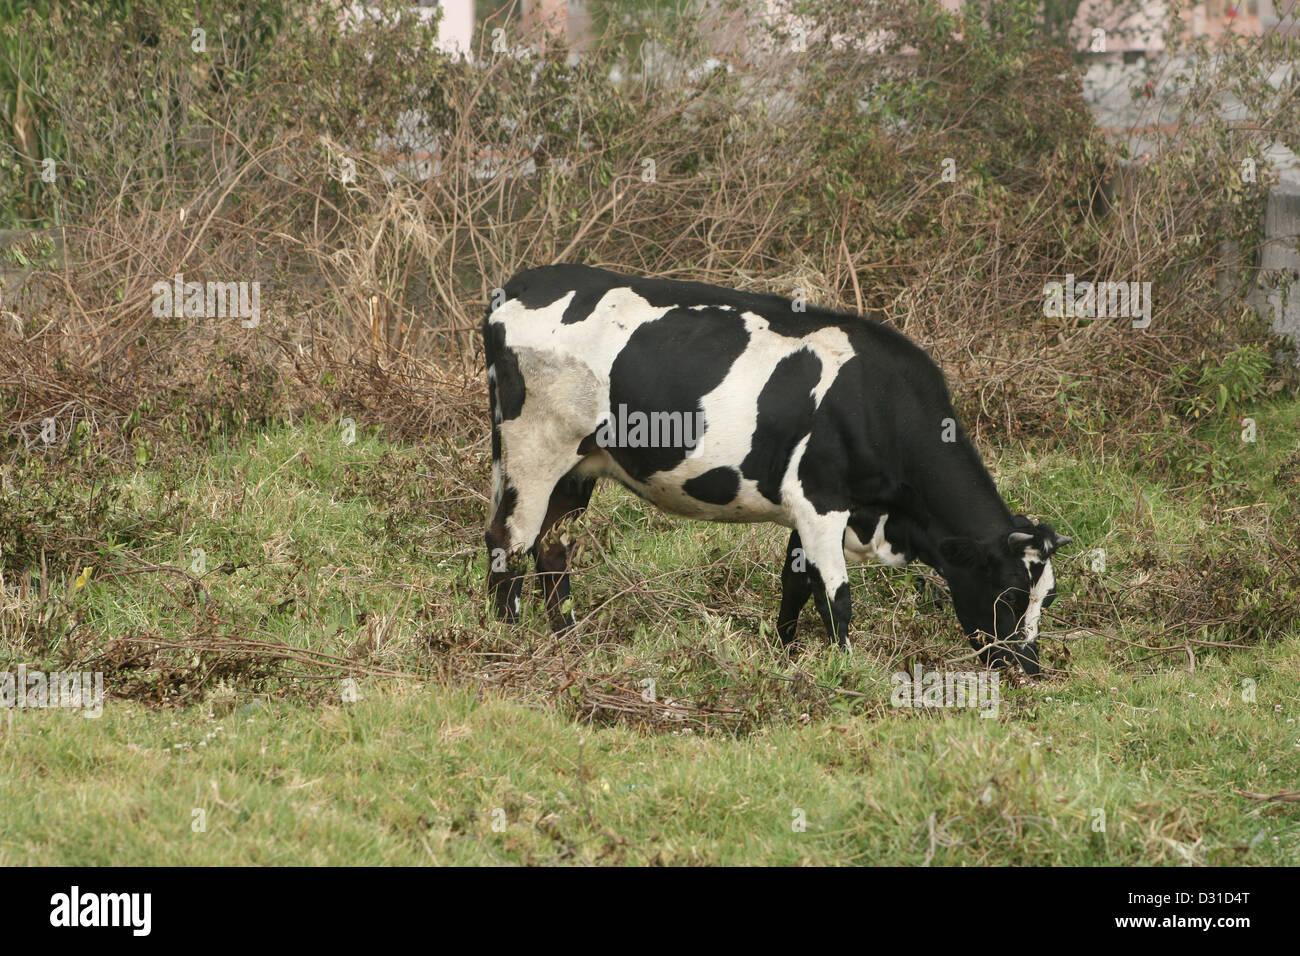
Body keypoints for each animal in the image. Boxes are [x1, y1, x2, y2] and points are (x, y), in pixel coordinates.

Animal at [481, 264, 1069, 675]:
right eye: (1010, 592)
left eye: (1048, 595)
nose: (1027, 670)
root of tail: (518, 284)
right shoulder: (820, 500)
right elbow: (836, 597)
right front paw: (846, 671)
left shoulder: (808, 512)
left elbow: (795, 584)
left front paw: (786, 657)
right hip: (534, 450)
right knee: (507, 540)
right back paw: (505, 640)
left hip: (577, 468)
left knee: (551, 548)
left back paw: (567, 640)